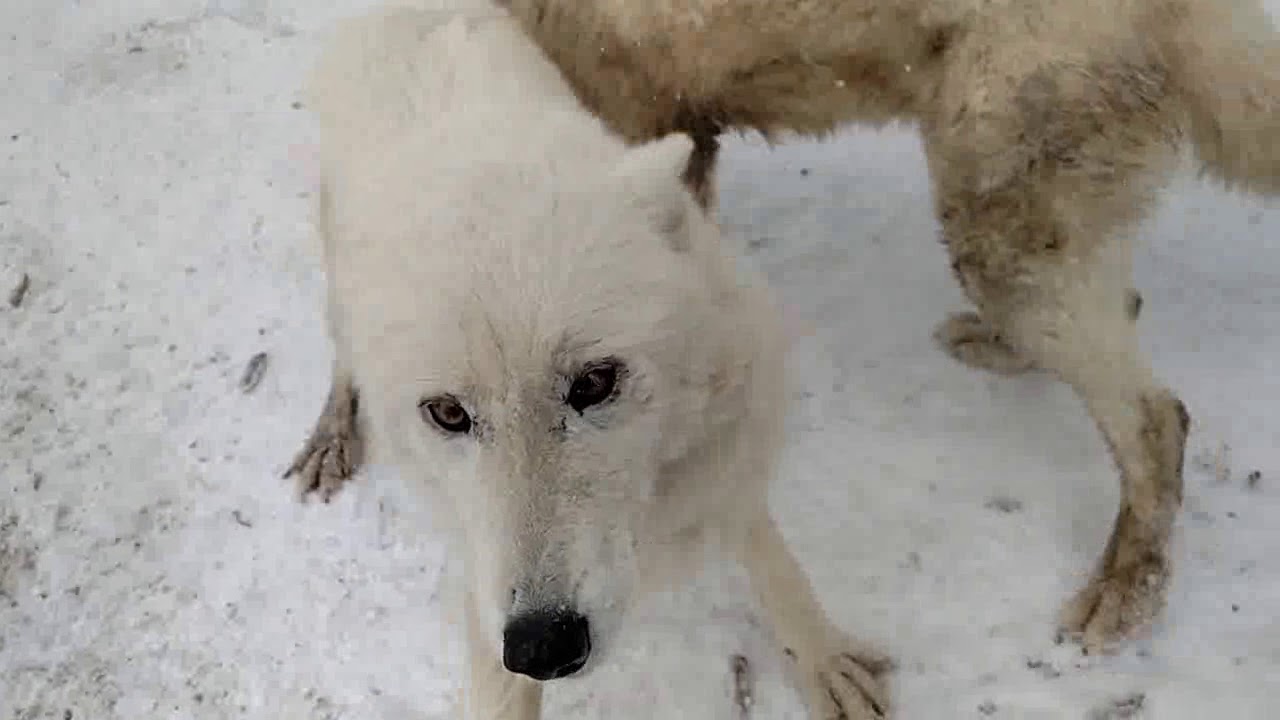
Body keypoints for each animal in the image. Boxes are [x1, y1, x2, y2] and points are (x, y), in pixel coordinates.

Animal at [291, 5, 893, 719]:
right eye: (447, 414)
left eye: (596, 382)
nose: (541, 647)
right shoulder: (481, 576)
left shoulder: (725, 467)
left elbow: (775, 562)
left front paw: (826, 661)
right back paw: (330, 436)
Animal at [421, 0, 1280, 655]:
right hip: (1030, 226)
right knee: (1121, 313)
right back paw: (1001, 349)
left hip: (997, 210)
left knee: (1158, 418)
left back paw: (1122, 592)